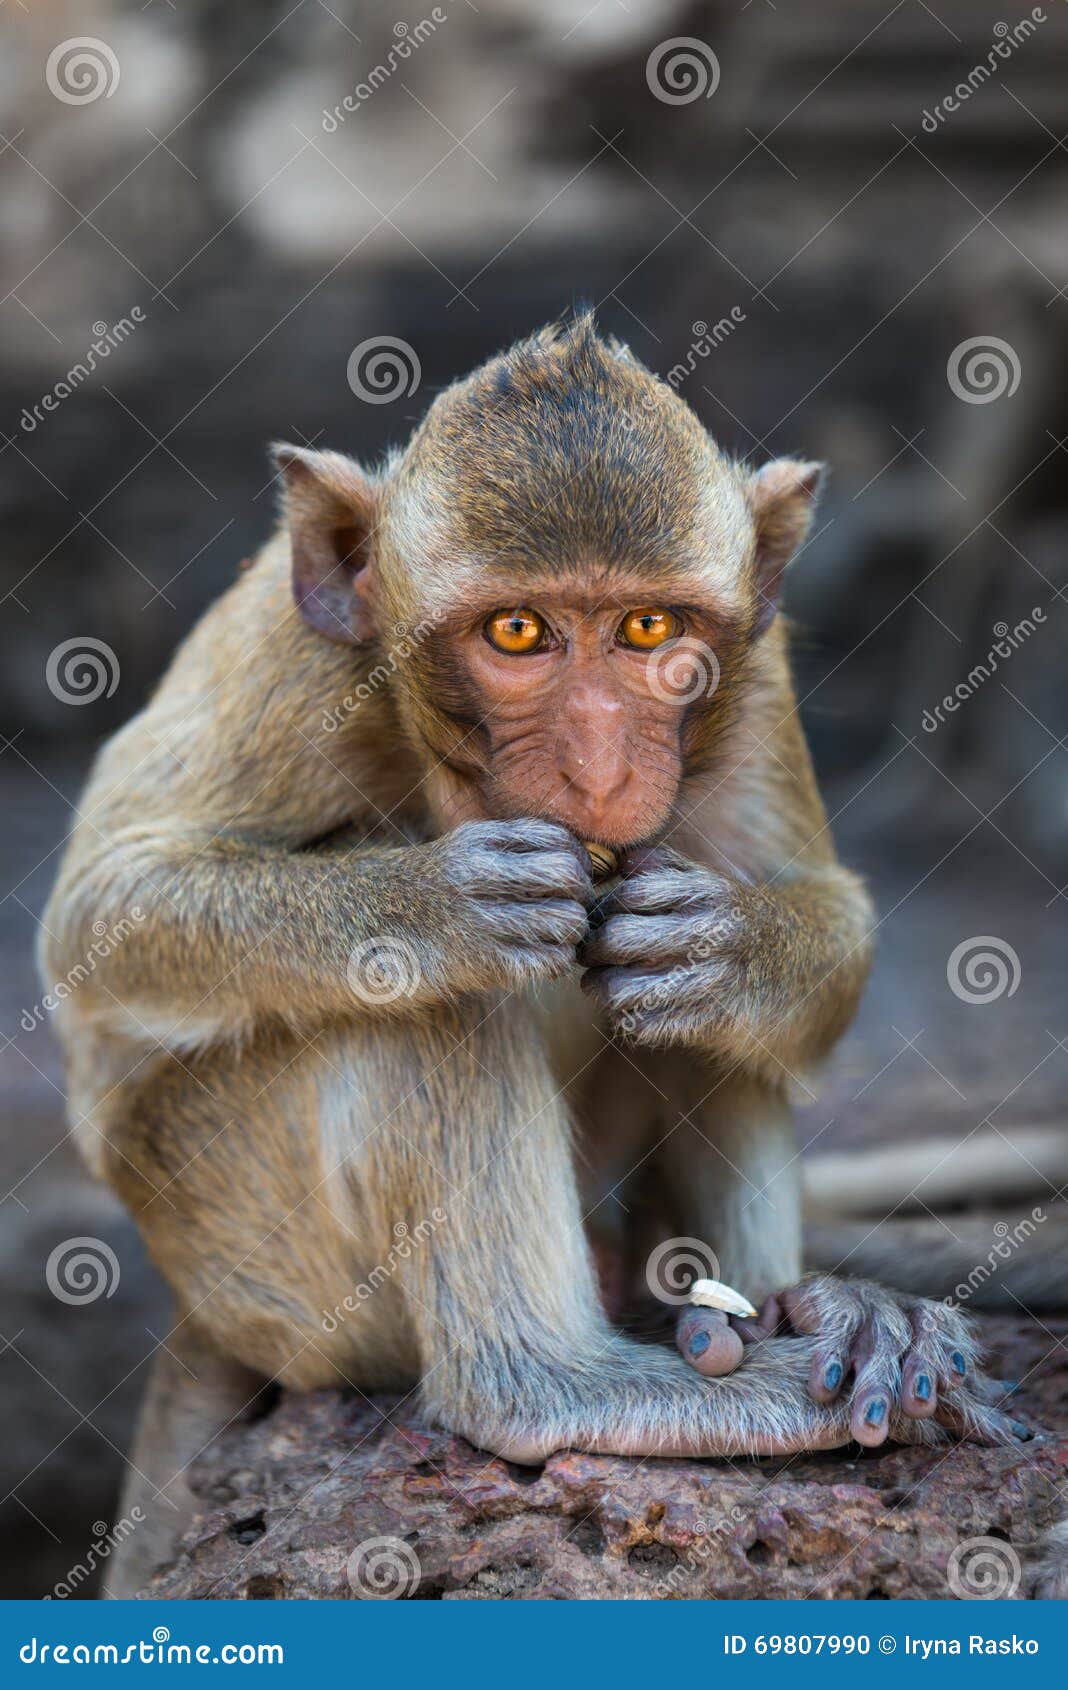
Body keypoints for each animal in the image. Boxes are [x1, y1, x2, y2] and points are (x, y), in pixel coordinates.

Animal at [39, 316, 1021, 1599]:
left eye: (650, 630)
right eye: (517, 633)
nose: (601, 771)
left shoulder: (751, 679)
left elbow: (821, 923)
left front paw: (723, 946)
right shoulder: (291, 658)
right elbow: (99, 918)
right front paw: (437, 902)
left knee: (697, 1030)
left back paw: (789, 1316)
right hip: (255, 1255)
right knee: (427, 1009)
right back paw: (557, 1385)